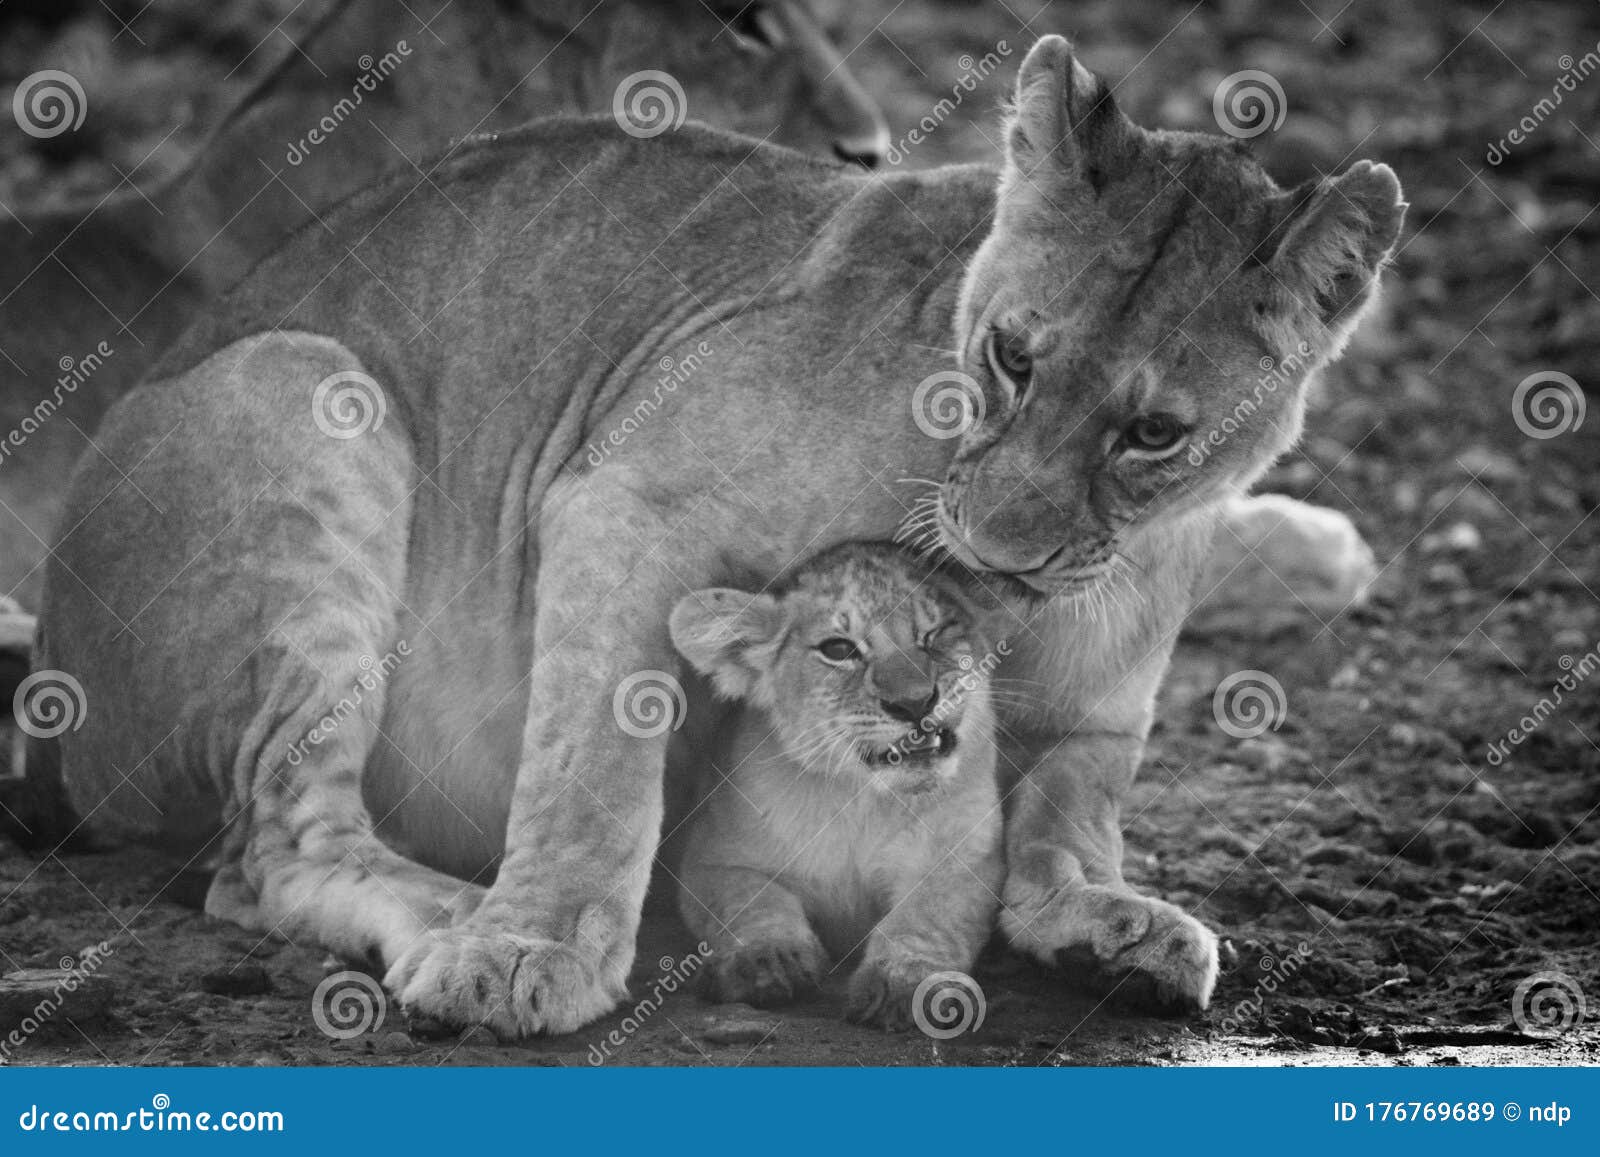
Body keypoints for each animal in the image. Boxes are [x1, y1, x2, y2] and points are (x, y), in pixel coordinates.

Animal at [668, 542, 1002, 1028]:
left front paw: (902, 980)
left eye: (935, 633)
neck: (859, 798)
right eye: (839, 649)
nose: (915, 703)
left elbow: (925, 916)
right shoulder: (713, 861)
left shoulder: (966, 857)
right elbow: (752, 899)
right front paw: (767, 959)